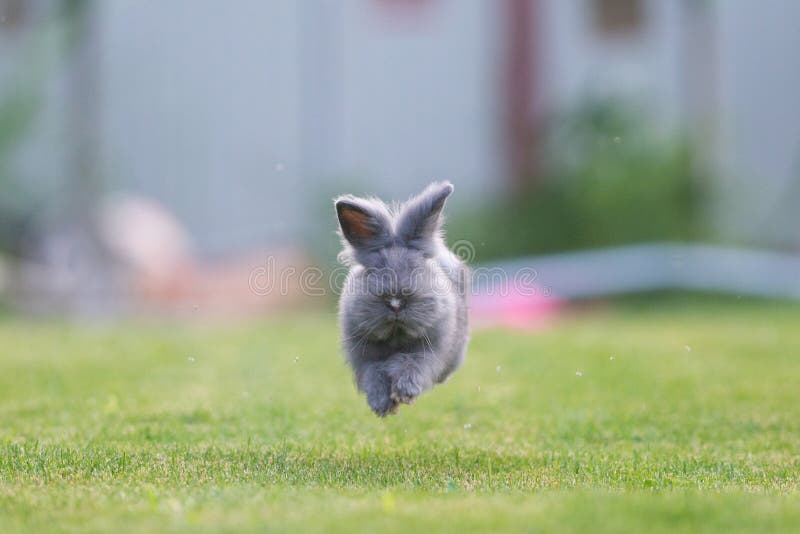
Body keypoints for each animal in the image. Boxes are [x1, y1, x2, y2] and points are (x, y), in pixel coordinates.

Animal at [335, 182, 470, 416]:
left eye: (417, 267)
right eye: (373, 270)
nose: (395, 303)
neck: (396, 335)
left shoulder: (428, 351)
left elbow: (411, 365)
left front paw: (405, 391)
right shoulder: (366, 359)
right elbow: (375, 375)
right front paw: (381, 404)